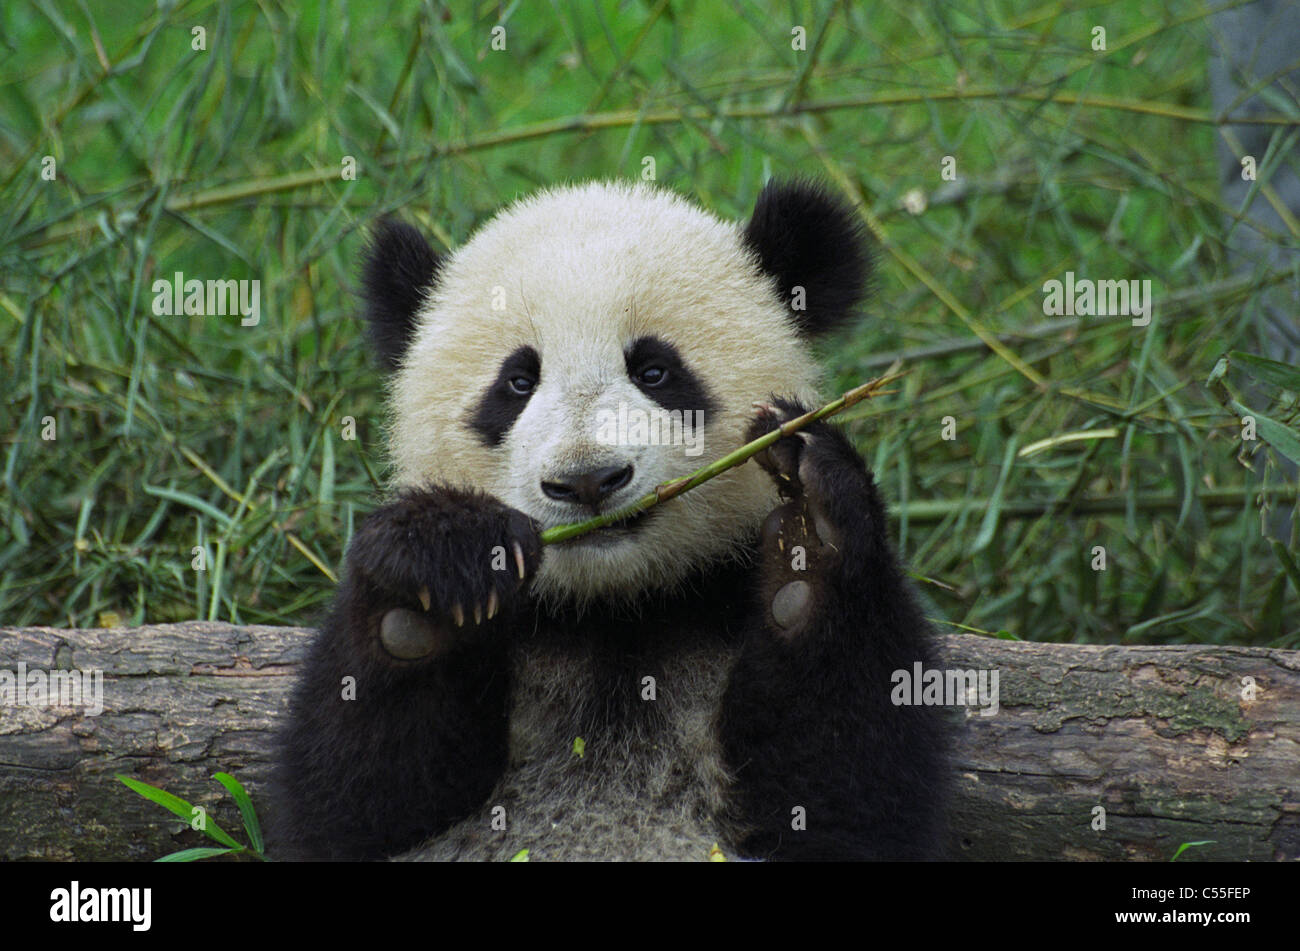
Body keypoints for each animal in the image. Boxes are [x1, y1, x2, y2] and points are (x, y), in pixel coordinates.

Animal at [272, 179, 949, 861]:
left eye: (655, 371)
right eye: (517, 382)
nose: (586, 481)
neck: (614, 613)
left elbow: (851, 792)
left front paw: (813, 528)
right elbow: (350, 798)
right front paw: (432, 579)